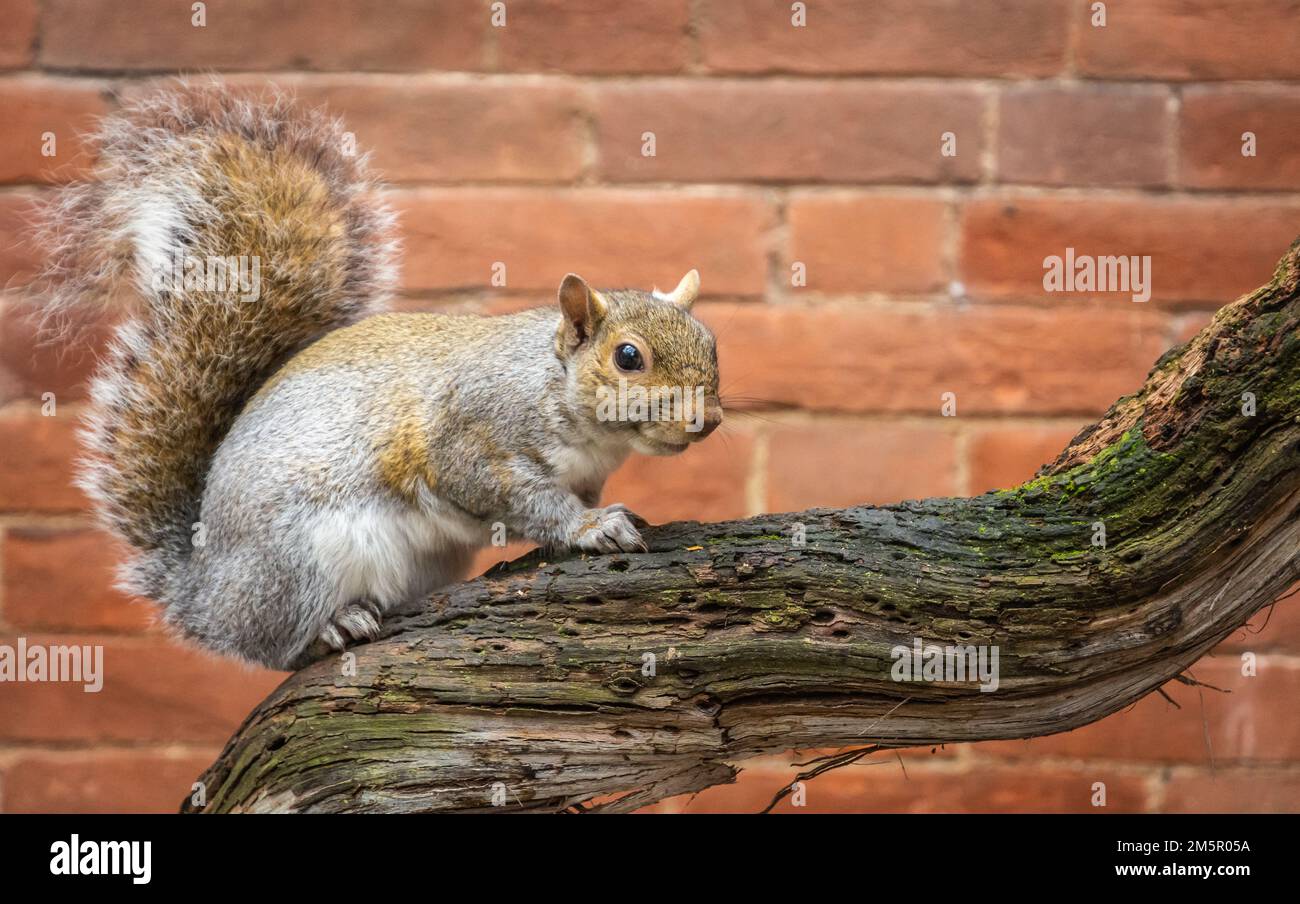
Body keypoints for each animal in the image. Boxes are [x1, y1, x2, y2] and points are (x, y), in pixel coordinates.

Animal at [38, 83, 722, 670]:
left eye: (712, 344)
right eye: (628, 357)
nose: (708, 419)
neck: (558, 393)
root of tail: (201, 593)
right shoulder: (469, 440)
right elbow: (520, 496)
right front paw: (590, 527)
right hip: (294, 562)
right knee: (272, 646)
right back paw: (329, 627)